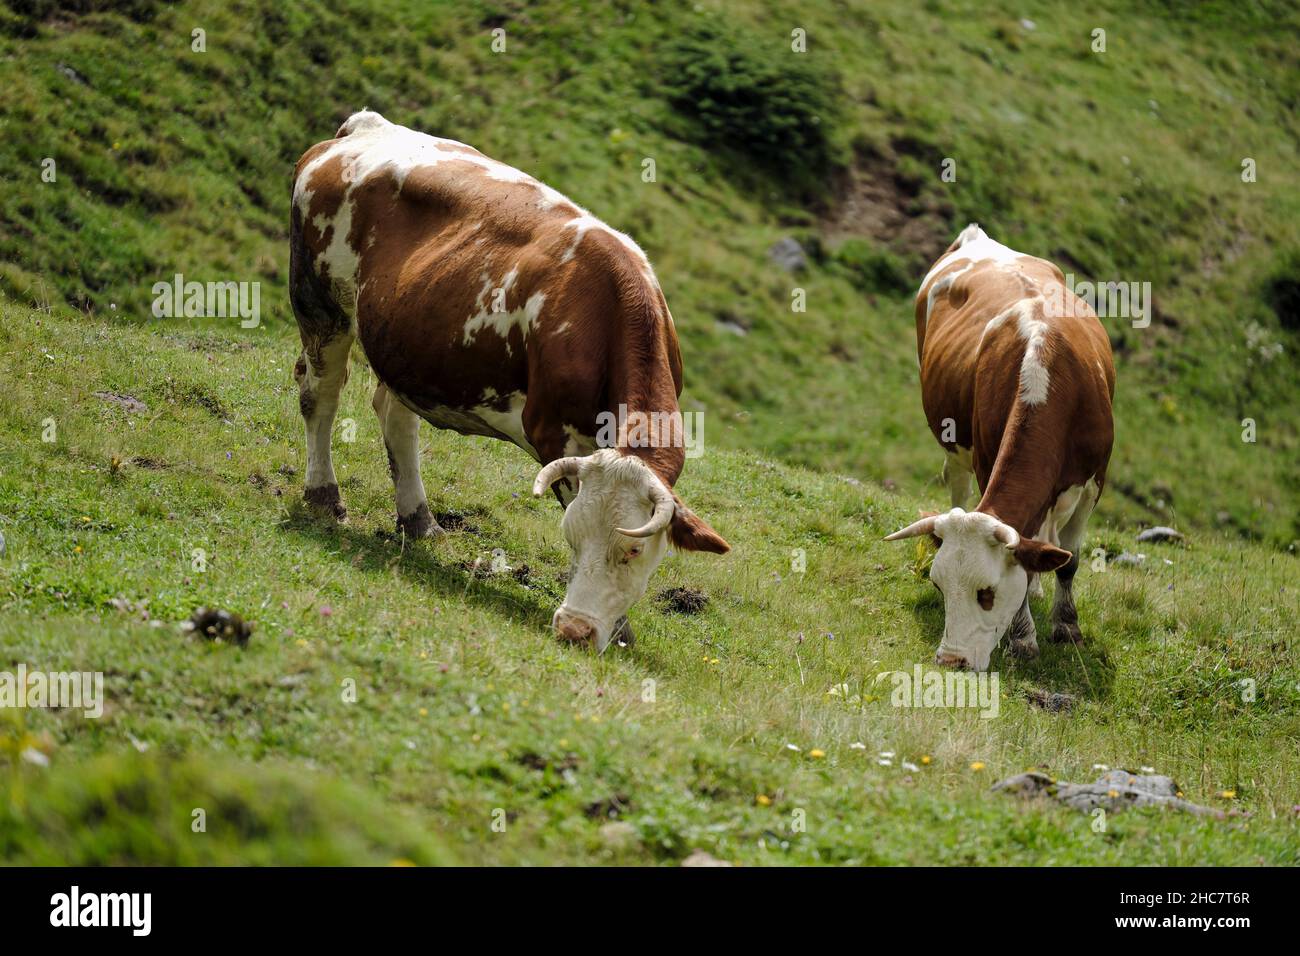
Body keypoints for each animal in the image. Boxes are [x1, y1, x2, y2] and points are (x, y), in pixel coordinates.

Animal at [289, 111, 729, 652]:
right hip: (319, 304)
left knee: (395, 416)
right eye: (572, 537)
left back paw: (420, 522)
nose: (574, 629)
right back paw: (323, 496)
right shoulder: (554, 432)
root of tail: (364, 126)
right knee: (321, 395)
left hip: (406, 340)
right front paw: (618, 627)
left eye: (631, 551)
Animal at [885, 224, 1115, 671]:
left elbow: (1069, 558)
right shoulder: (984, 460)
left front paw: (1067, 626)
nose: (950, 660)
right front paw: (1023, 636)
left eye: (986, 593)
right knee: (957, 486)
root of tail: (978, 238)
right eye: (939, 587)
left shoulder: (1095, 479)